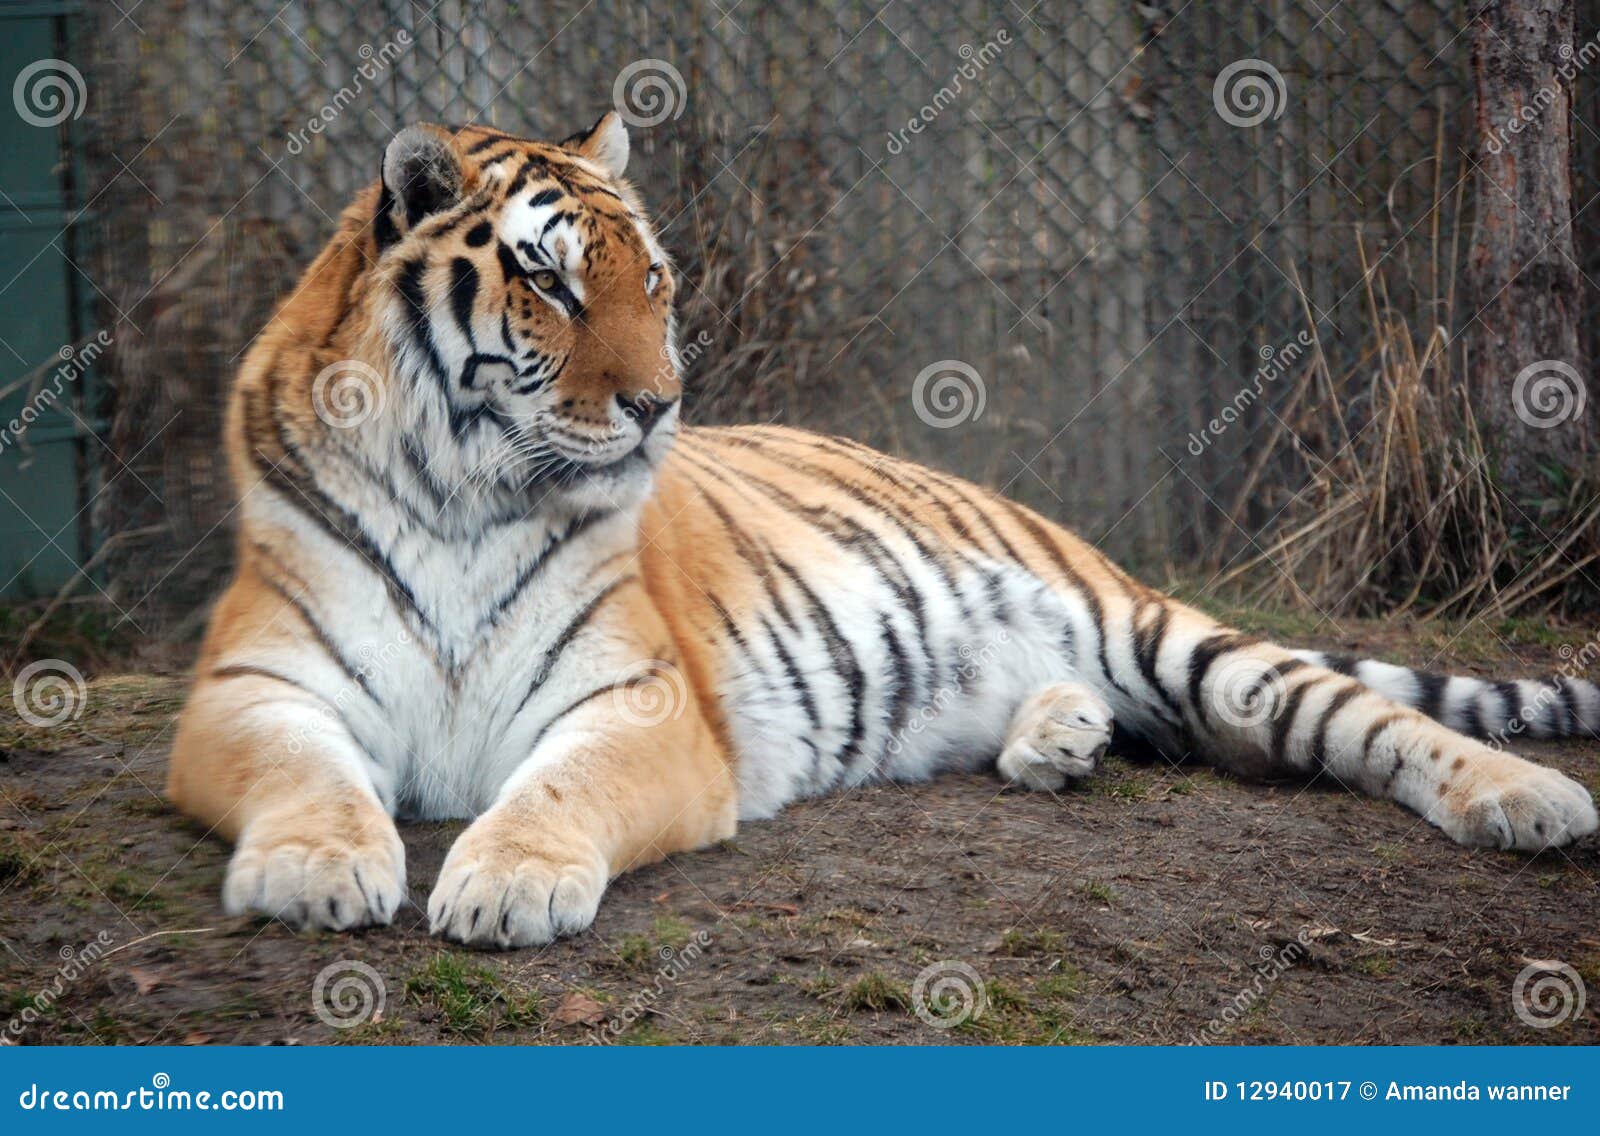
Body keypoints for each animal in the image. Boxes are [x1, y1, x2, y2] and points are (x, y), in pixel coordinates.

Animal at [168, 112, 1599, 948]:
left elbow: (555, 786)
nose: (660, 403)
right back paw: (1058, 737)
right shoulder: (252, 685)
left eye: (654, 279)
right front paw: (313, 868)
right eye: (553, 285)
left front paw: (503, 880)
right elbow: (304, 770)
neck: (464, 494)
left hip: (1178, 641)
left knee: (1379, 720)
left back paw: (1531, 799)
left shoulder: (640, 704)